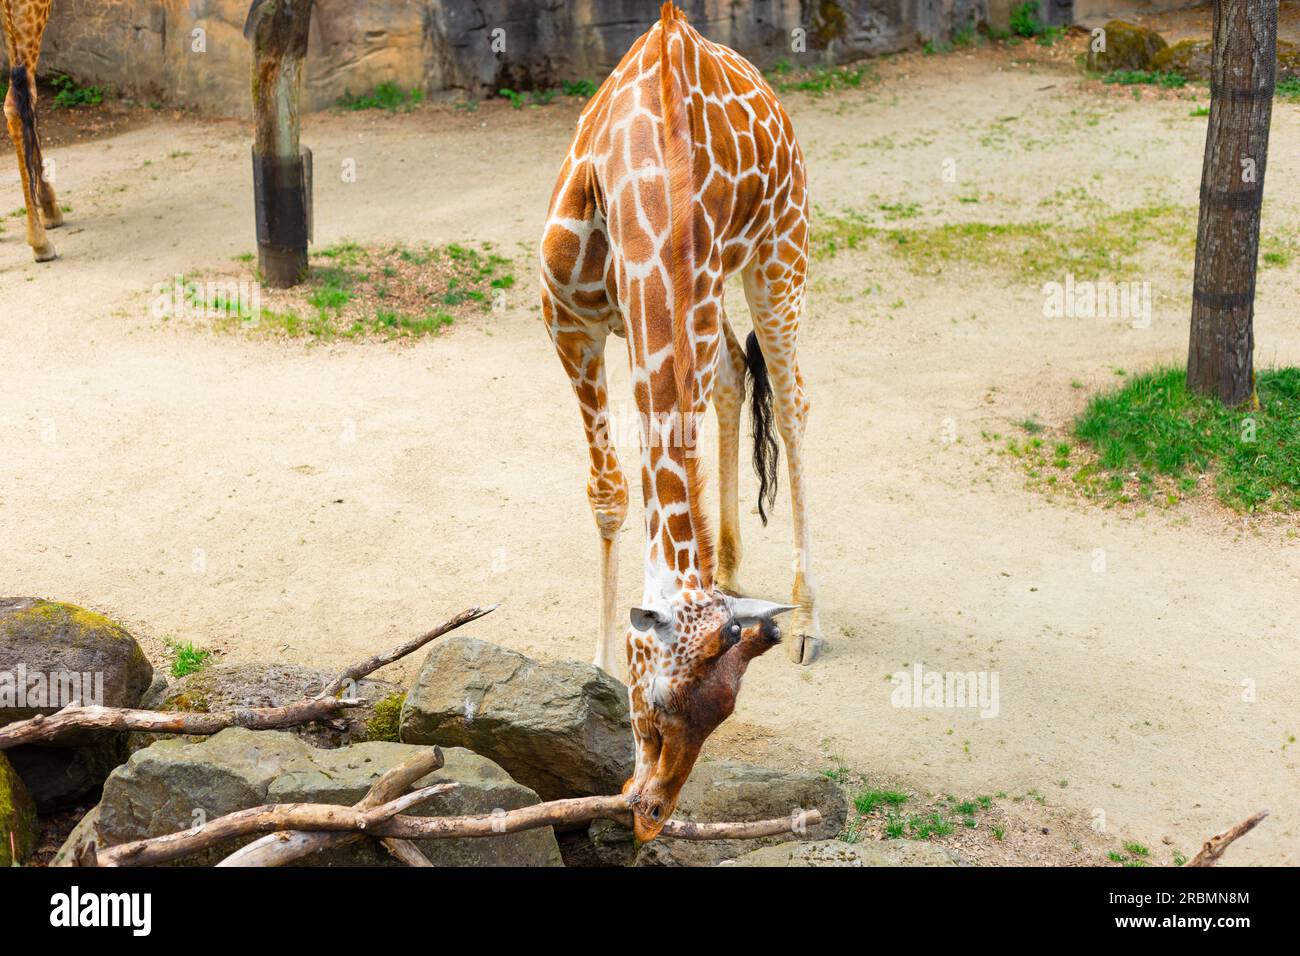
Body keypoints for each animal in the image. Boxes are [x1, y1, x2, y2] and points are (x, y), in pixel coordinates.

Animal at [540, 3, 822, 840]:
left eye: (725, 717)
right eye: (656, 703)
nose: (650, 815)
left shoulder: (675, 319)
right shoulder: (568, 320)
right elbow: (609, 493)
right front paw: (594, 671)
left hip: (781, 250)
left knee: (791, 402)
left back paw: (807, 619)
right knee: (738, 377)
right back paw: (728, 566)